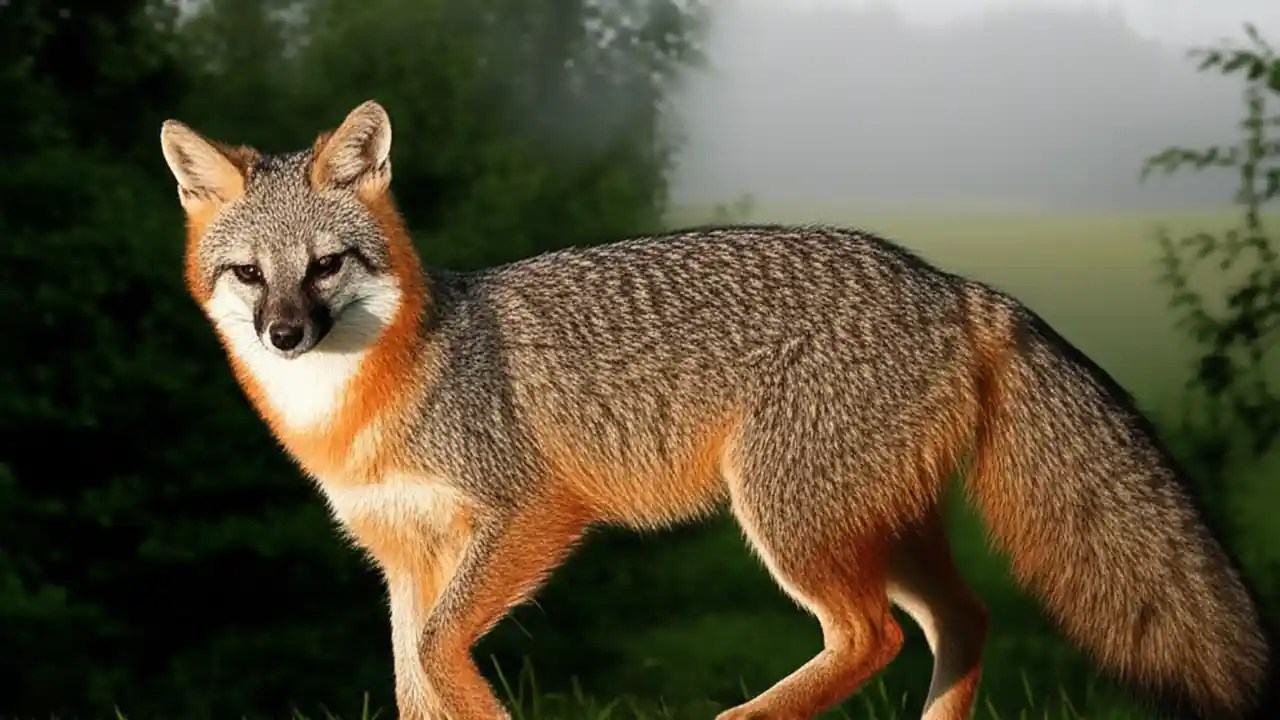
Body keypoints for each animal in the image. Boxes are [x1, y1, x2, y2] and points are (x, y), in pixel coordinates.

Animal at [158, 99, 1274, 720]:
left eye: (326, 266)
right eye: (250, 274)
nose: (285, 333)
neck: (363, 404)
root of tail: (948, 280)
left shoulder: (529, 515)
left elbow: (438, 660)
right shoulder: (404, 558)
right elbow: (410, 688)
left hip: (791, 519)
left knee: (872, 637)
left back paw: (746, 718)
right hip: (875, 525)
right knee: (963, 617)